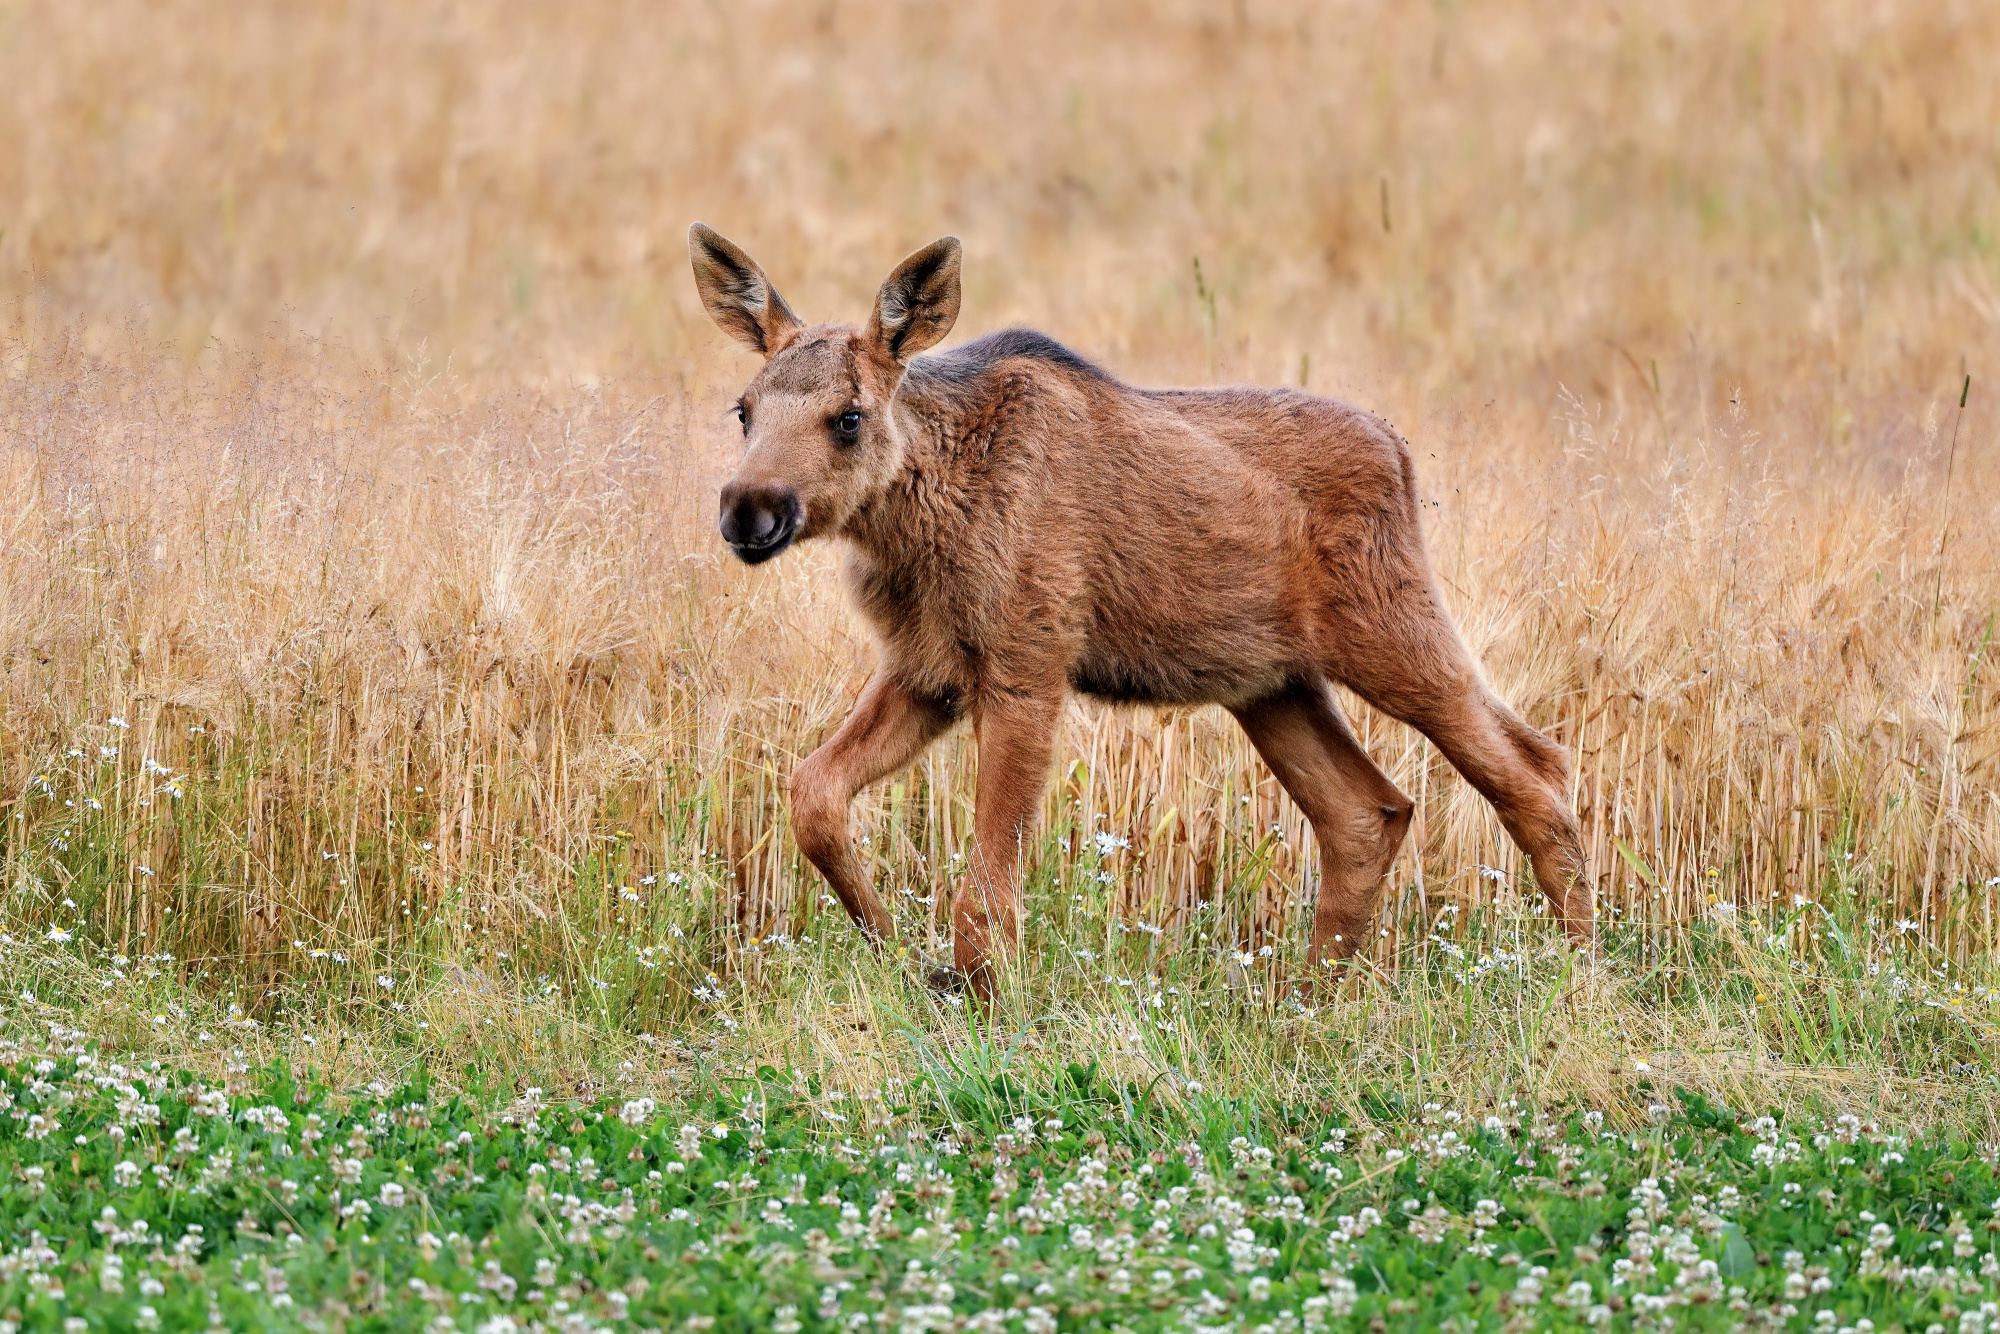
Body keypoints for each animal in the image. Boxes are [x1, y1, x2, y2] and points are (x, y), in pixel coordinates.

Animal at [689, 223, 1591, 1007]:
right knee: (1368, 812)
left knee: (1536, 771)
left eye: (849, 416)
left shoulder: (1027, 663)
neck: (914, 524)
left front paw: (982, 1001)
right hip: (1273, 683)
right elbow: (813, 795)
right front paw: (892, 944)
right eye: (744, 409)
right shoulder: (926, 669)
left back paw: (1581, 972)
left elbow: (987, 887)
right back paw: (1303, 998)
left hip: (1395, 635)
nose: (749, 510)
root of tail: (1400, 452)